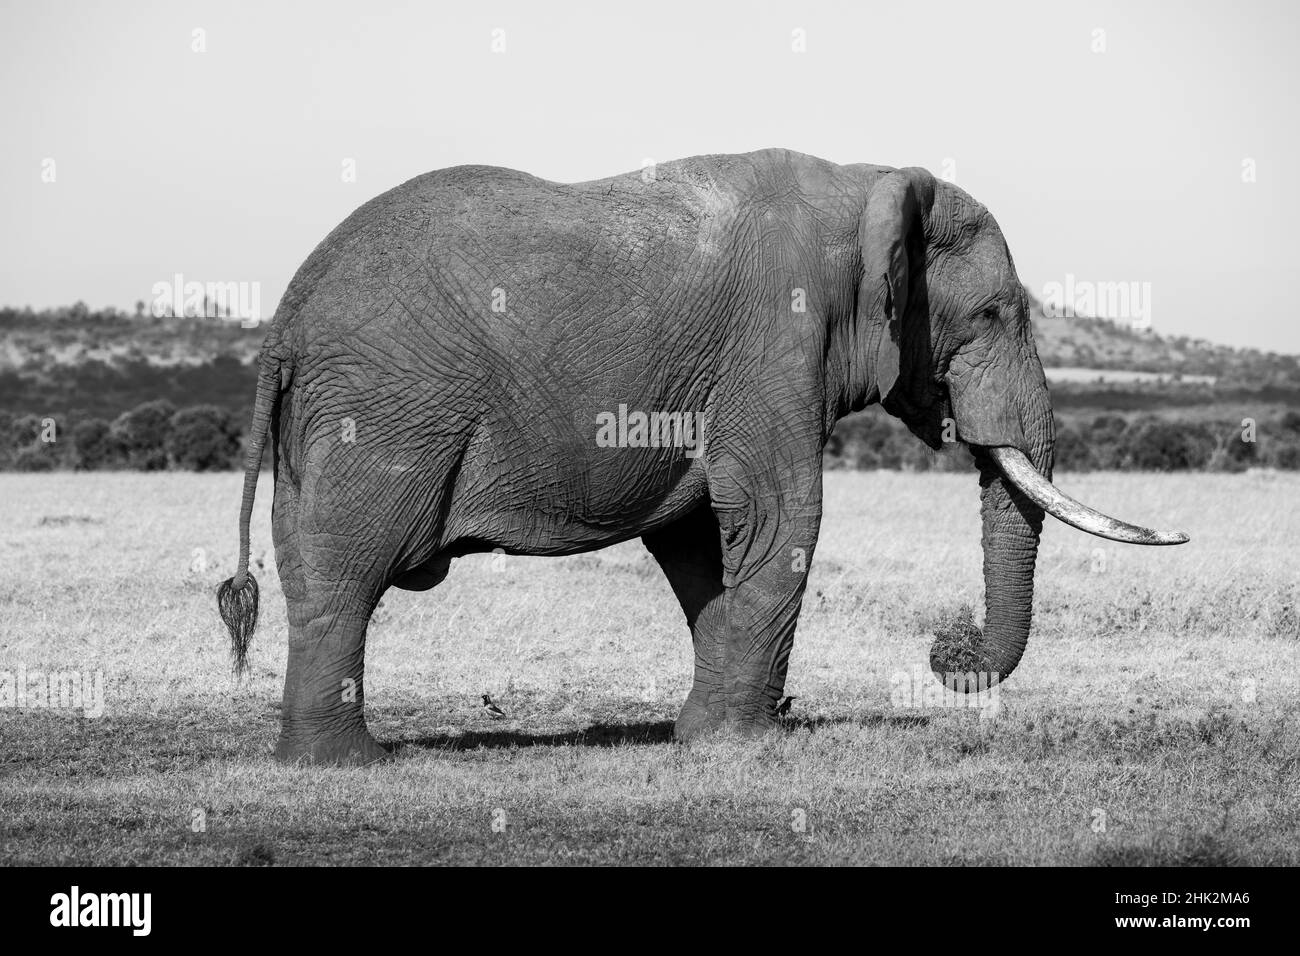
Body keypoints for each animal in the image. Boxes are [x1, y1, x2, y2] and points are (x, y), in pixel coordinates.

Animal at [217, 148, 1187, 765]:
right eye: (990, 315)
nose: (944, 649)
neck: (866, 183)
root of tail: (285, 315)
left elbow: (699, 542)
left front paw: (710, 736)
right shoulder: (776, 339)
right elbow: (778, 516)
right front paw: (744, 745)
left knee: (311, 569)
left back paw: (315, 761)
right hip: (384, 411)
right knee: (349, 571)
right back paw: (348, 768)